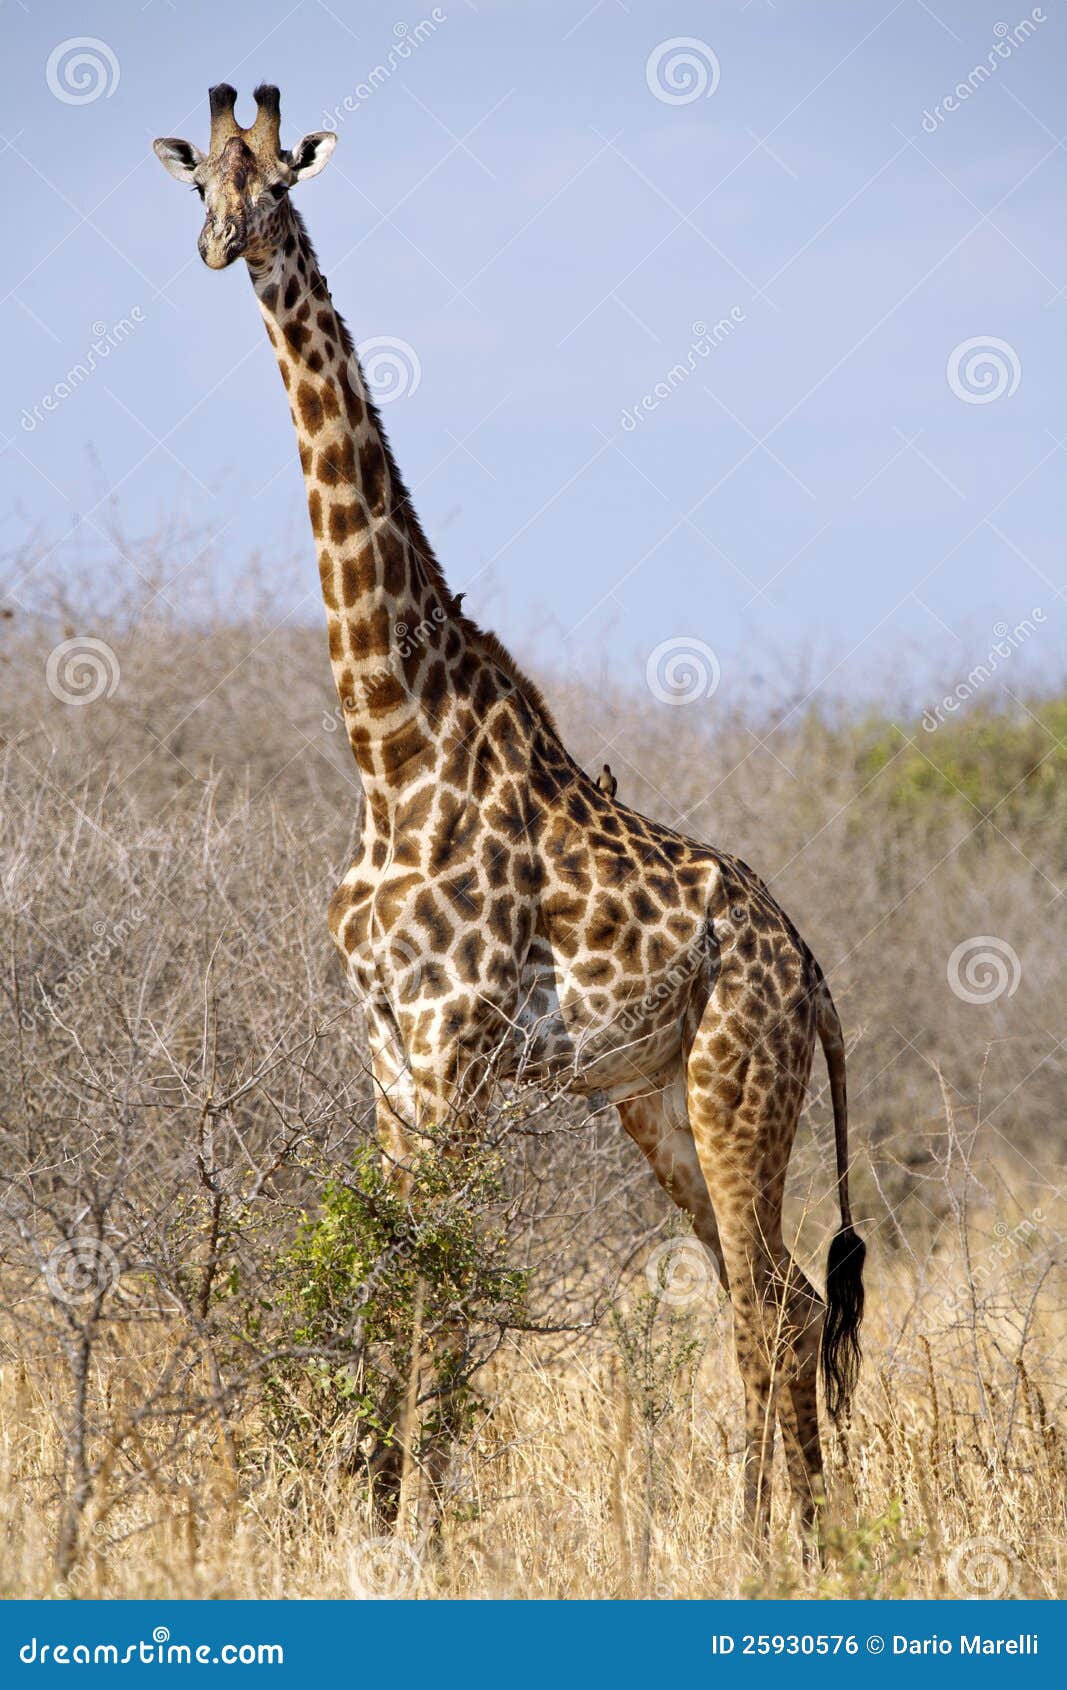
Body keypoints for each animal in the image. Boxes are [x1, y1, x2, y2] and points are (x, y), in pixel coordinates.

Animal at [153, 85, 865, 1547]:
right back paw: (792, 1530)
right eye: (200, 180)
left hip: (732, 1082)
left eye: (277, 183)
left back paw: (762, 1538)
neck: (388, 746)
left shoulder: (458, 1045)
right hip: (655, 1103)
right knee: (776, 1295)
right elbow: (388, 1273)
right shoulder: (384, 1045)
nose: (217, 246)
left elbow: (437, 1278)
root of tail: (810, 973)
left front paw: (411, 1519)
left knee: (769, 1299)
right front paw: (370, 1507)